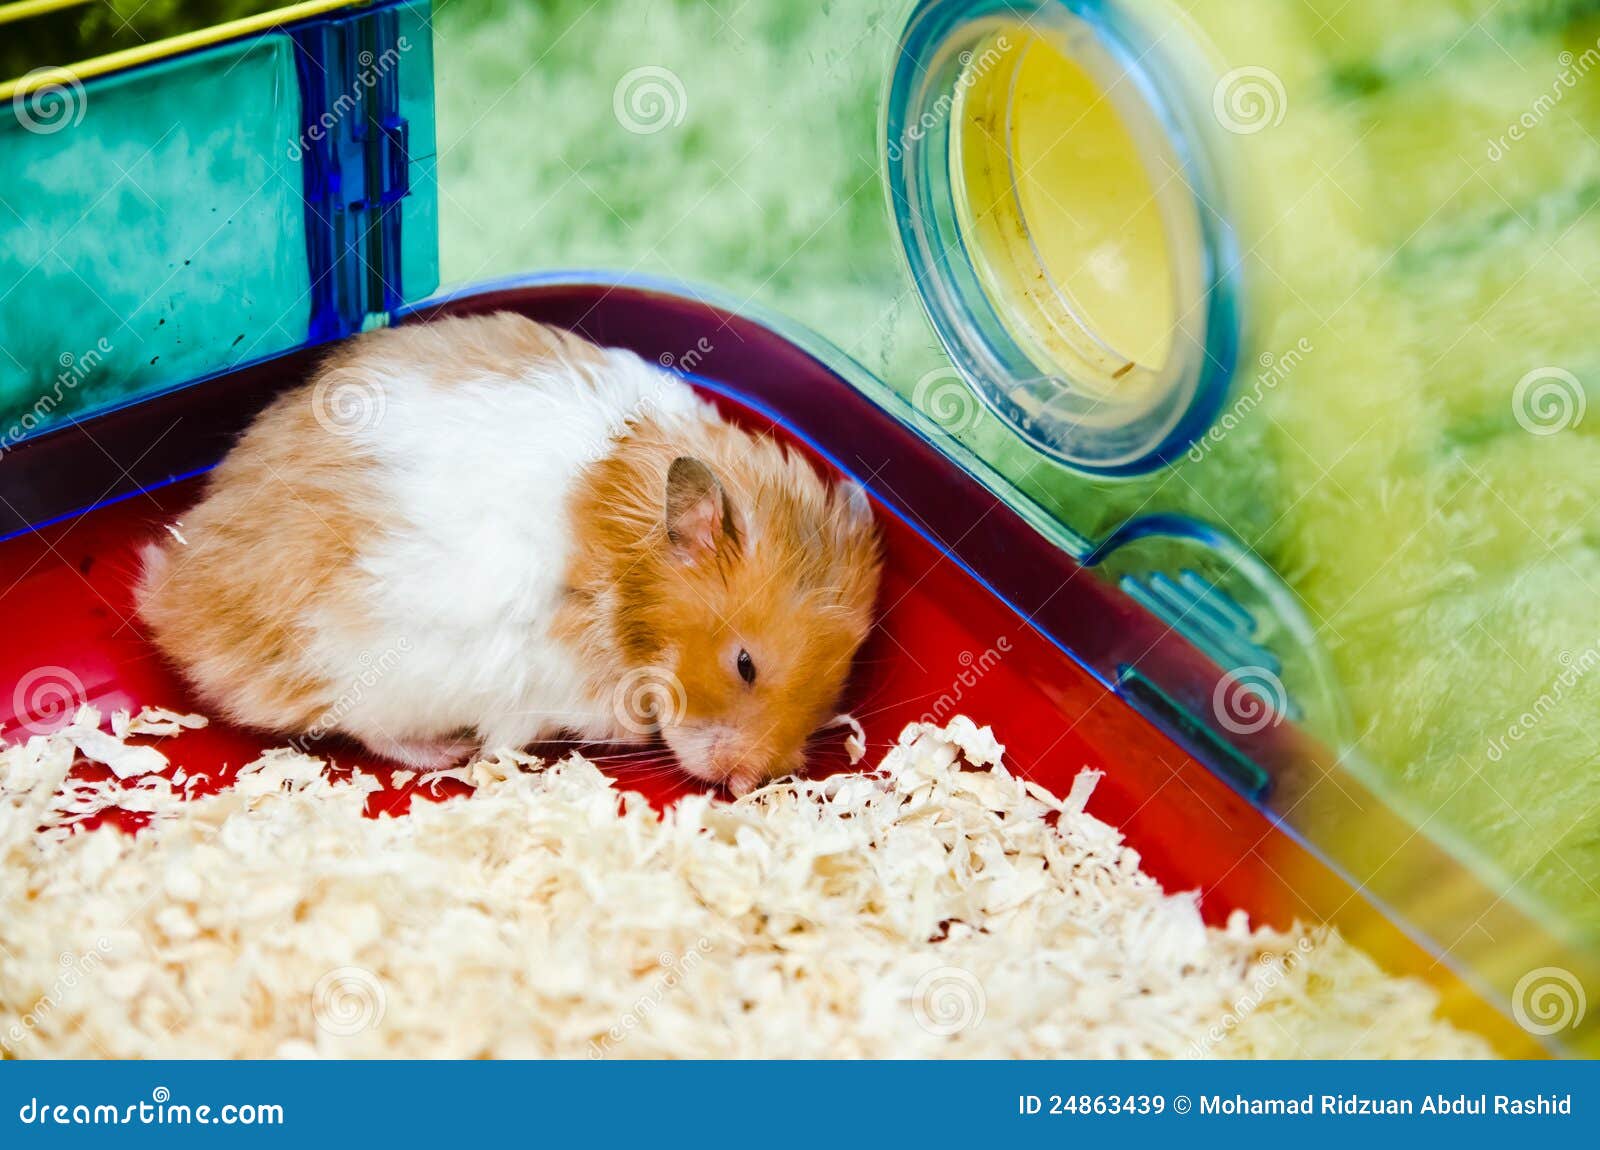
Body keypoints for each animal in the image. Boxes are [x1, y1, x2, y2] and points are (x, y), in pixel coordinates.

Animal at [135, 312, 882, 796]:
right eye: (744, 664)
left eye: (836, 681)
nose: (750, 781)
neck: (626, 570)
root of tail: (171, 594)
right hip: (371, 667)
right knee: (368, 727)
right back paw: (449, 752)